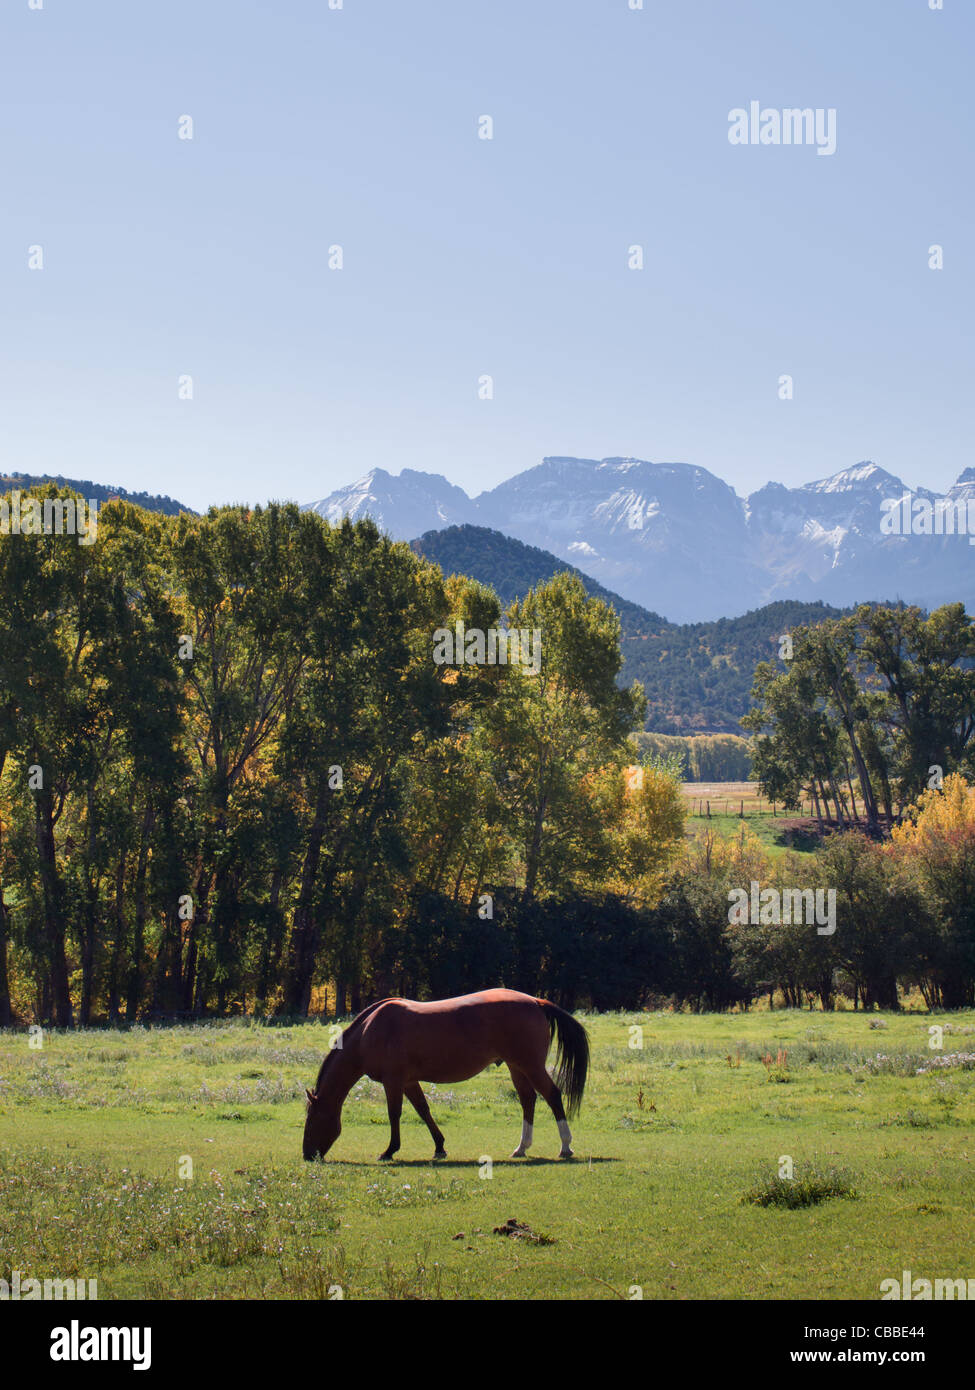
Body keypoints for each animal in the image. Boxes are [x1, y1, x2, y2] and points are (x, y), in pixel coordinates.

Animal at [303, 988, 589, 1162]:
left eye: (313, 1118)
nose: (308, 1154)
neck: (369, 1032)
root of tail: (535, 1002)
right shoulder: (409, 1081)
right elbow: (423, 1110)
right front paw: (439, 1147)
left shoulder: (393, 1081)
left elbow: (394, 1114)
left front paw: (389, 1150)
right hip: (516, 1067)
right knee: (528, 1100)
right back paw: (521, 1148)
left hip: (530, 1065)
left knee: (552, 1095)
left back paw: (565, 1147)